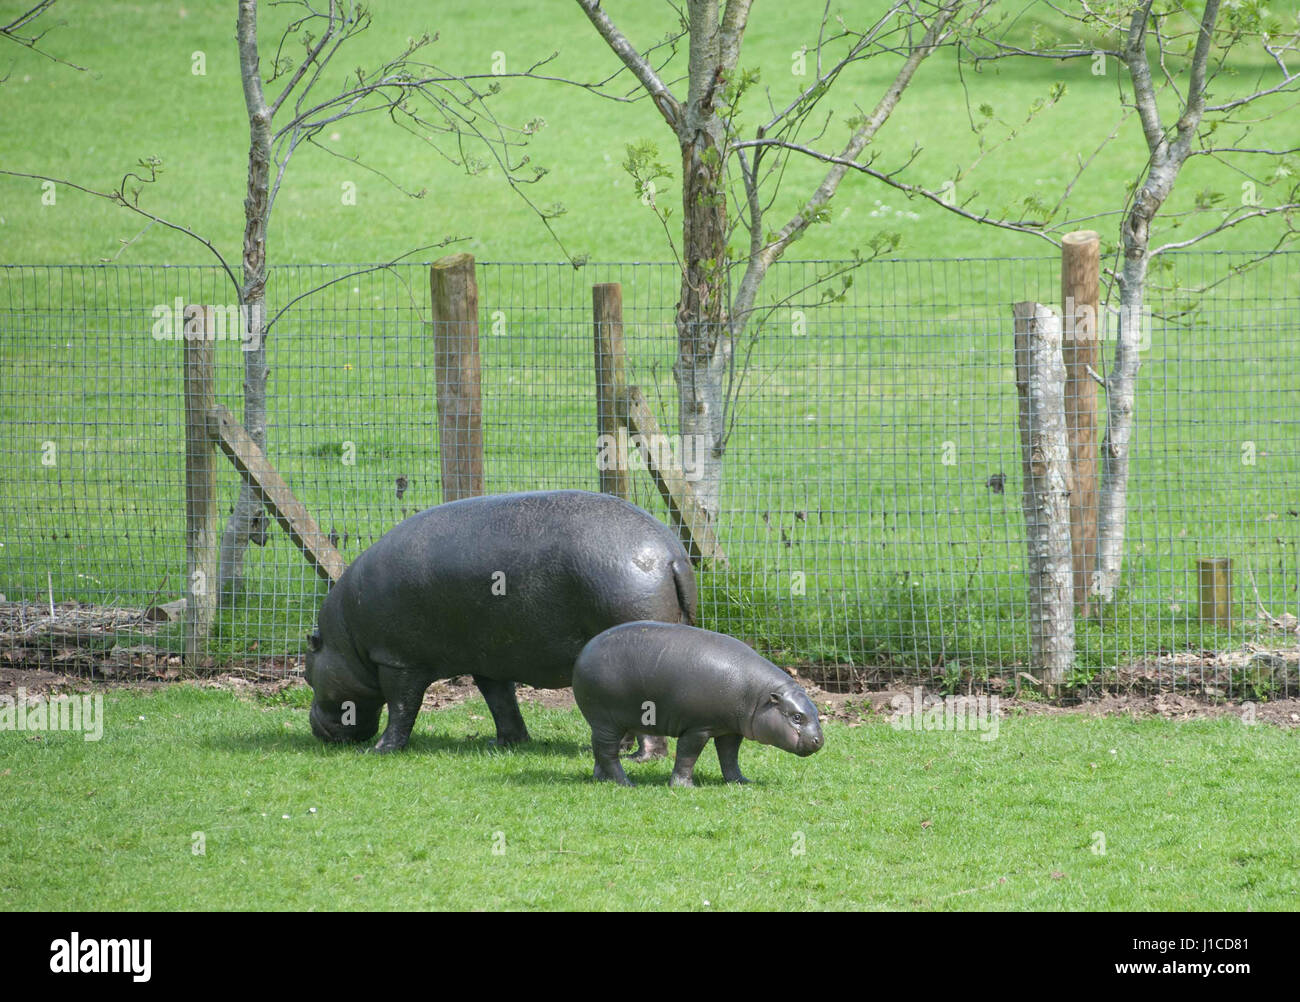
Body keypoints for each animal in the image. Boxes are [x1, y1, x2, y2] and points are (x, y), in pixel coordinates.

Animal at [305, 490, 696, 753]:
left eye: (308, 675)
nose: (316, 728)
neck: (346, 640)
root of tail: (671, 553)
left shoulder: (398, 661)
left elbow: (402, 708)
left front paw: (380, 750)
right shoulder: (489, 658)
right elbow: (501, 701)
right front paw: (508, 744)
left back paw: (640, 758)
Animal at [572, 621, 824, 786]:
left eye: (815, 711)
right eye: (797, 717)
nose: (819, 741)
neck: (758, 695)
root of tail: (585, 650)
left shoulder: (730, 730)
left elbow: (730, 757)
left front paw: (741, 781)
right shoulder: (698, 728)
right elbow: (687, 755)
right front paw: (684, 786)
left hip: (608, 723)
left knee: (600, 750)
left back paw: (602, 779)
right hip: (606, 721)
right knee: (608, 752)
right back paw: (626, 783)